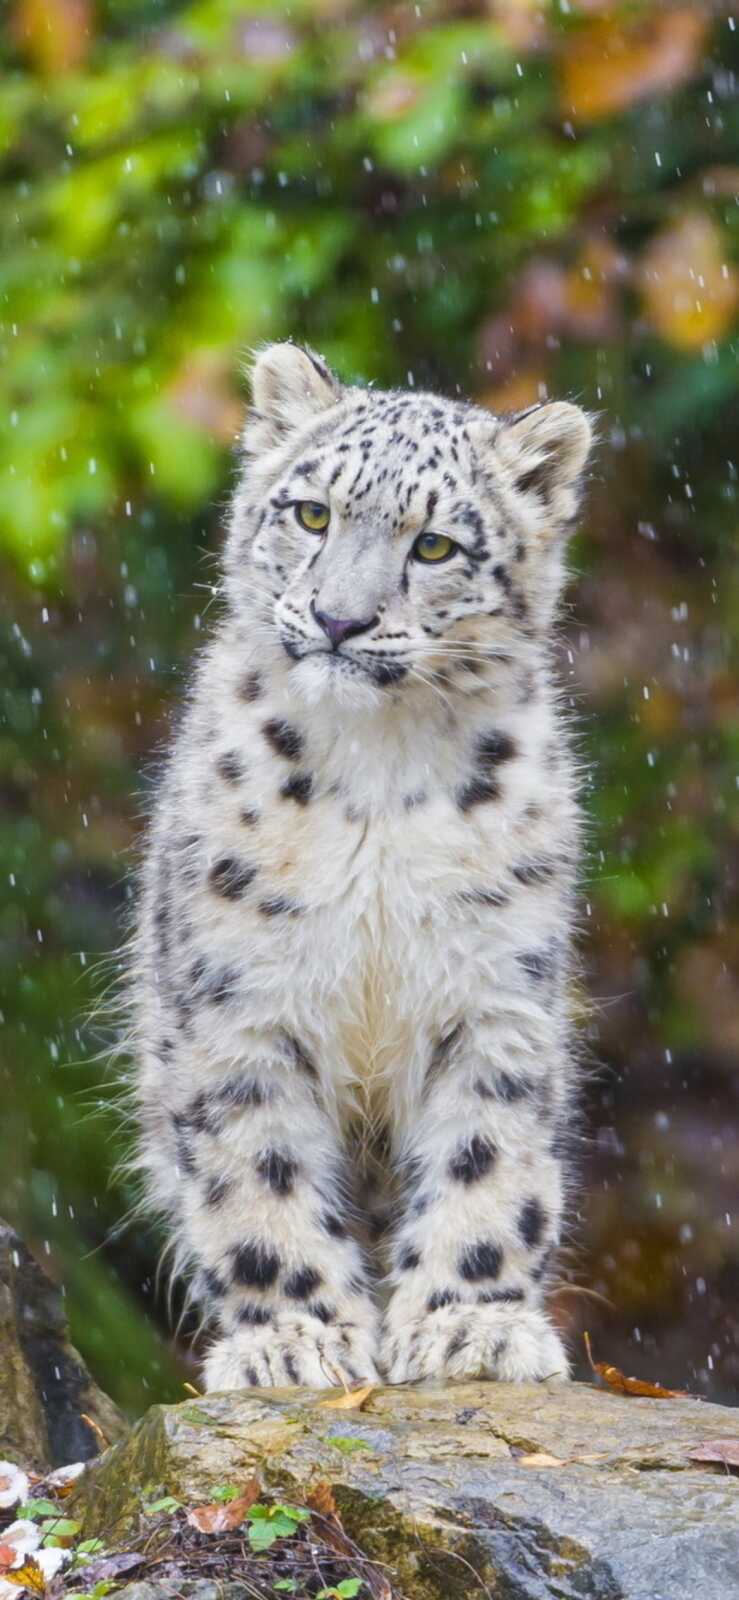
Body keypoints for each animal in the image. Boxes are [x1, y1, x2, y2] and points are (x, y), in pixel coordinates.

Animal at [129, 342, 593, 1391]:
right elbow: (255, 1170)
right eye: (312, 514)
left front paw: (472, 1324)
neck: (378, 771)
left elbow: (487, 1158)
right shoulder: (239, 1001)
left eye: (436, 547)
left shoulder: (495, 994)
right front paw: (293, 1337)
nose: (339, 620)